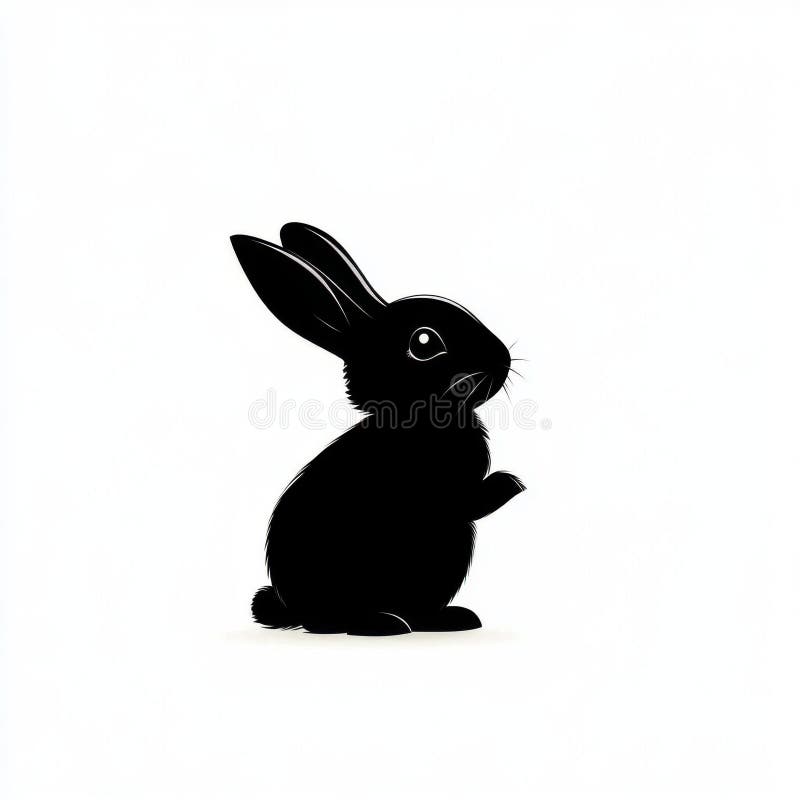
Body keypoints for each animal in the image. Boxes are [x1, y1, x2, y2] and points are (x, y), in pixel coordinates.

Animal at [231, 223, 525, 635]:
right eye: (424, 341)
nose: (503, 357)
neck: (417, 419)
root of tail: (291, 609)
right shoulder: (428, 488)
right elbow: (465, 502)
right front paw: (511, 483)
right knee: (332, 621)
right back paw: (382, 622)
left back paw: (449, 619)